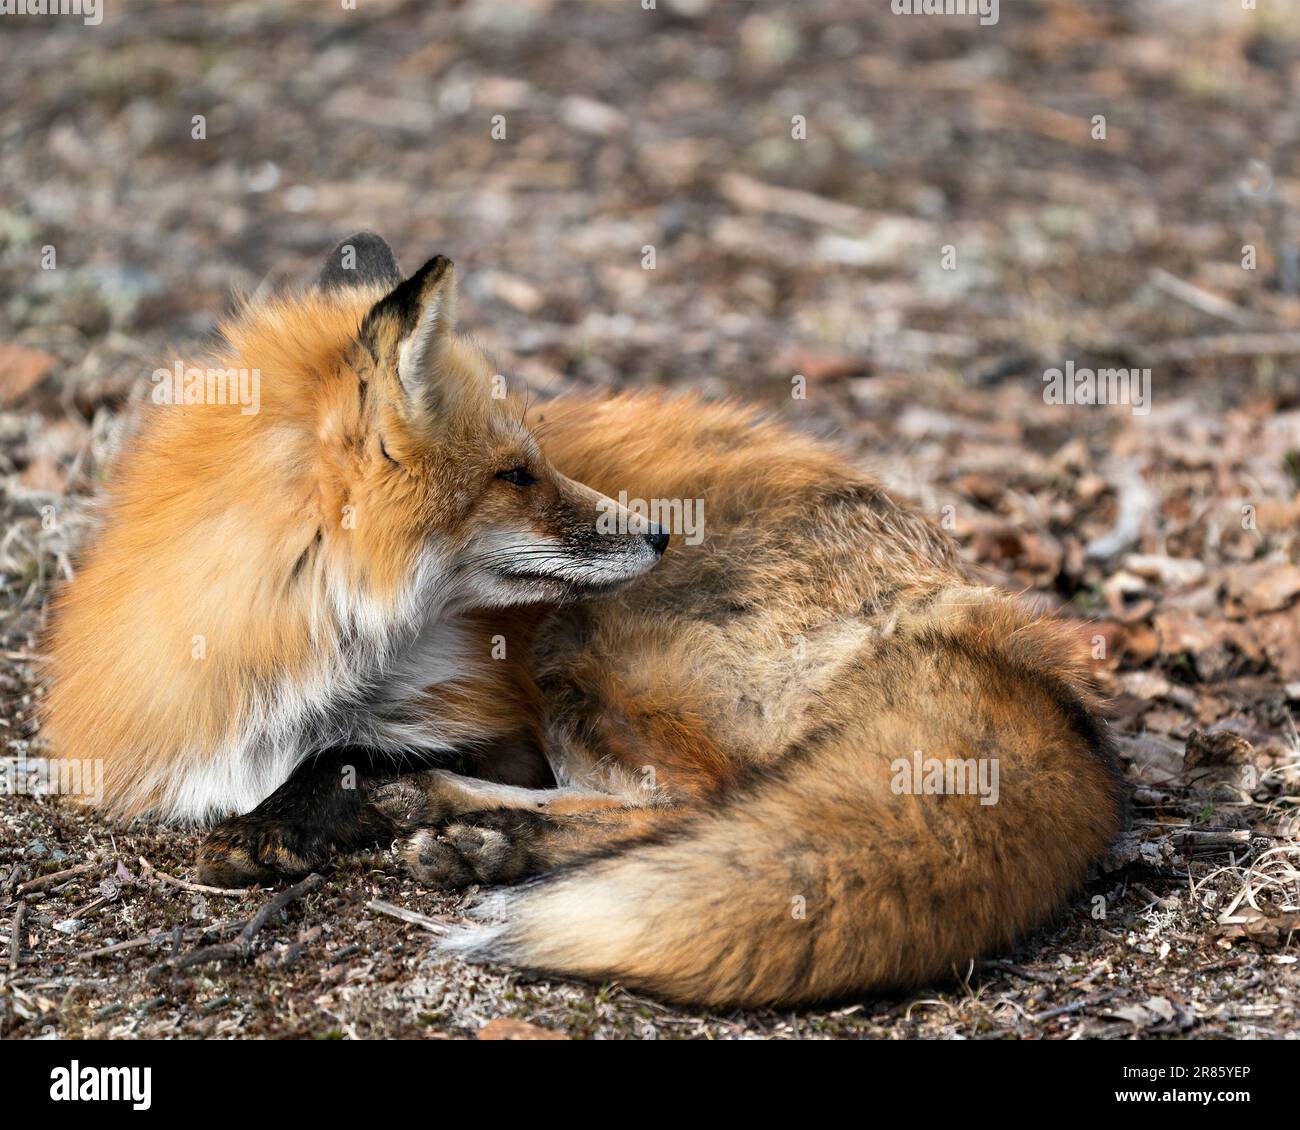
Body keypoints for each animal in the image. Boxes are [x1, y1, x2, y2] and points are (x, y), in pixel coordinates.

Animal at [43, 233, 1124, 1007]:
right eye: (517, 474)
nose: (659, 532)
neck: (300, 655)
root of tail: (995, 624)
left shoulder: (488, 720)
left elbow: (340, 757)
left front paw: (280, 822)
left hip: (589, 653)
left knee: (702, 799)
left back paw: (483, 839)